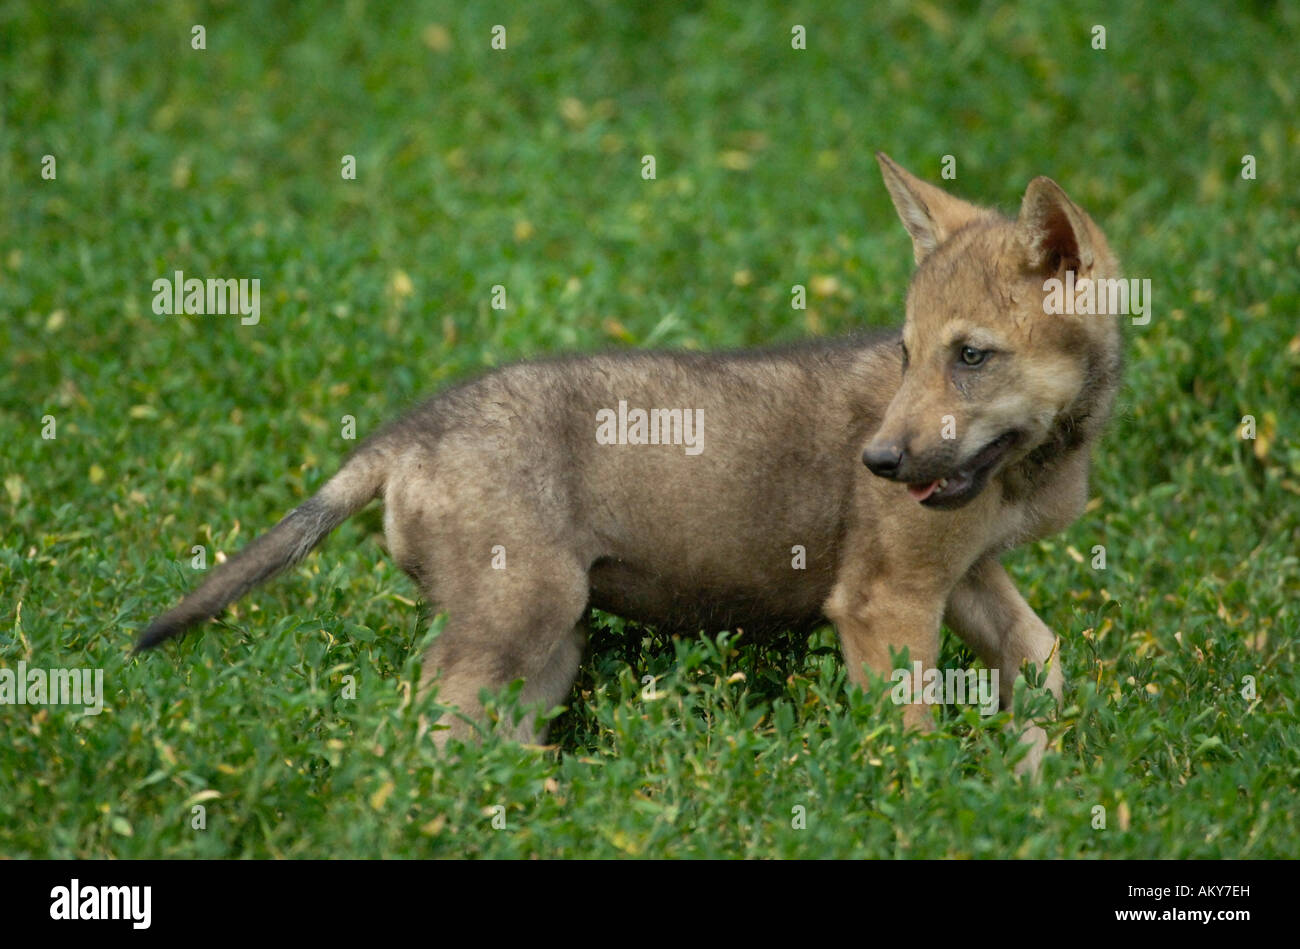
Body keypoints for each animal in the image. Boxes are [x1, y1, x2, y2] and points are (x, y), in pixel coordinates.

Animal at [137, 154, 1122, 775]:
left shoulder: (968, 575)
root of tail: (405, 433)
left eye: (970, 355)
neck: (1036, 463)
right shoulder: (887, 598)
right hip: (518, 620)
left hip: (546, 651)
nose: (877, 460)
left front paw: (1030, 795)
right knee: (415, 743)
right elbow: (911, 745)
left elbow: (1041, 658)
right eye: (909, 352)